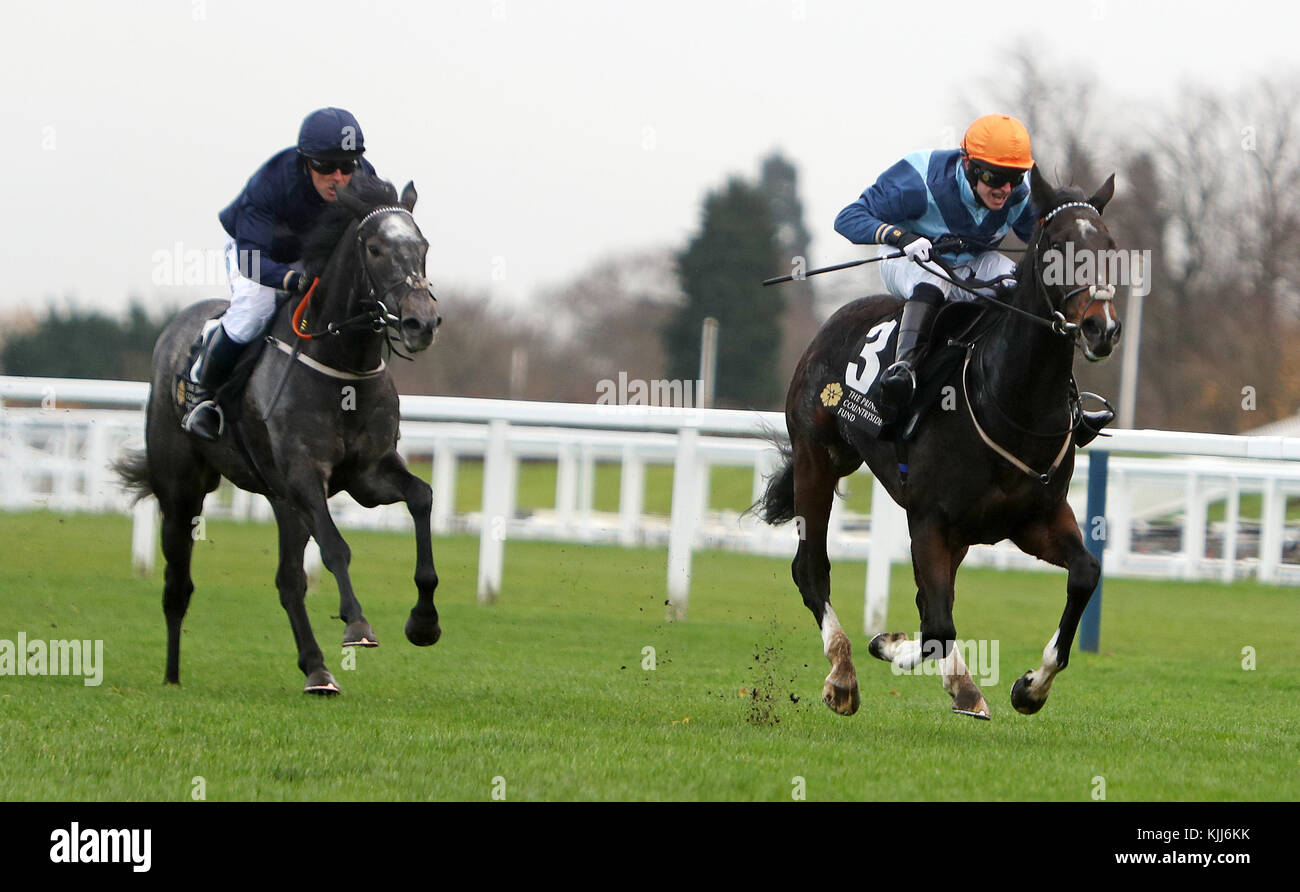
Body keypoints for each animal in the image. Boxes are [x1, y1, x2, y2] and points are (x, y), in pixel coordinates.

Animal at [114, 174, 443, 694]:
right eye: (374, 248)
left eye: (422, 246)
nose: (420, 322)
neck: (342, 366)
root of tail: (173, 331)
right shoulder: (305, 475)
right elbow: (336, 547)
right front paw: (357, 624)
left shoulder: (368, 475)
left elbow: (422, 499)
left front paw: (424, 622)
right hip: (182, 488)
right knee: (178, 582)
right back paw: (171, 674)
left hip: (281, 500)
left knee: (289, 580)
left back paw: (317, 670)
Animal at [756, 165, 1123, 719]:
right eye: (1056, 245)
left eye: (1110, 245)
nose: (1102, 327)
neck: (1012, 401)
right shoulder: (928, 518)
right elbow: (939, 624)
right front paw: (910, 659)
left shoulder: (1034, 518)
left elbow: (1084, 572)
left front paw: (1030, 686)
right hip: (816, 458)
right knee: (811, 569)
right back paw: (842, 674)